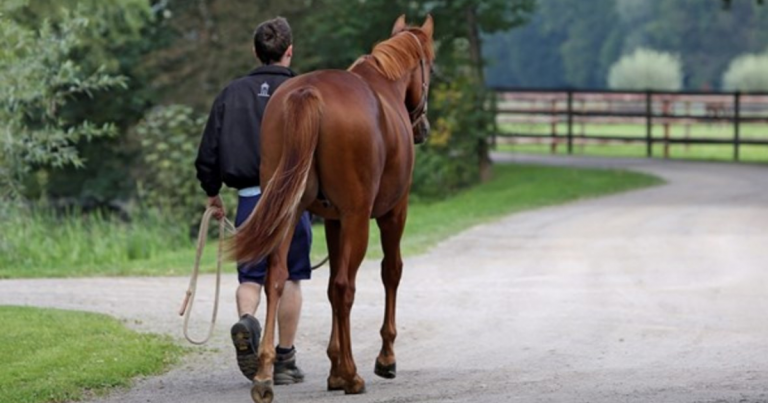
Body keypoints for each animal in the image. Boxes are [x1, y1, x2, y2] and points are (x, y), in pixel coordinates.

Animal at [232, 15, 435, 403]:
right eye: (431, 67)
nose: (423, 128)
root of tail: (307, 94)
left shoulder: (333, 221)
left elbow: (325, 287)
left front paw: (334, 367)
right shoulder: (391, 214)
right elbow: (390, 272)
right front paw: (382, 360)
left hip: (287, 213)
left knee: (276, 279)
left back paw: (264, 375)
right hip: (359, 218)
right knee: (345, 287)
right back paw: (354, 375)